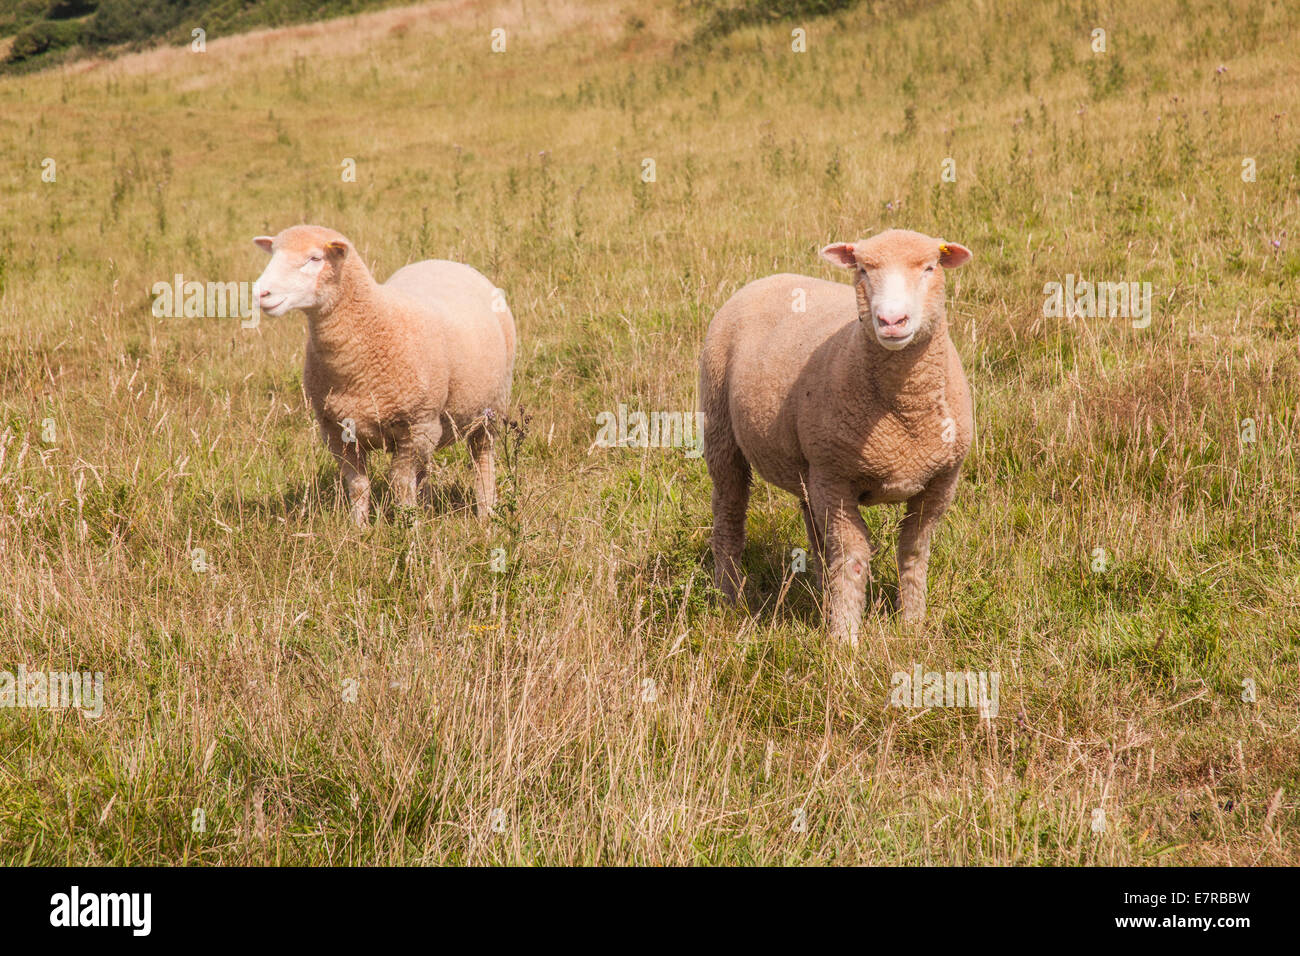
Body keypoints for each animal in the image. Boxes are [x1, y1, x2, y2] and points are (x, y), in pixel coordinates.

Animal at [252, 224, 516, 527]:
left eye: (315, 258)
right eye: (273, 253)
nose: (260, 293)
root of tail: (447, 262)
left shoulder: (415, 425)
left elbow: (400, 485)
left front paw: (409, 528)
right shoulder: (337, 432)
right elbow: (358, 486)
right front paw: (359, 528)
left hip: (489, 410)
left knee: (482, 458)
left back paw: (486, 512)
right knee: (424, 471)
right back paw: (427, 506)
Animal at [698, 229, 974, 644]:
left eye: (929, 268)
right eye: (862, 269)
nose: (891, 320)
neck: (904, 414)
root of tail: (770, 278)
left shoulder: (941, 480)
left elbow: (914, 549)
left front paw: (912, 625)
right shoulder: (836, 479)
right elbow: (853, 556)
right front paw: (845, 637)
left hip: (805, 465)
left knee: (813, 528)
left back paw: (820, 593)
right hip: (721, 431)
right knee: (729, 515)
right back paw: (730, 598)